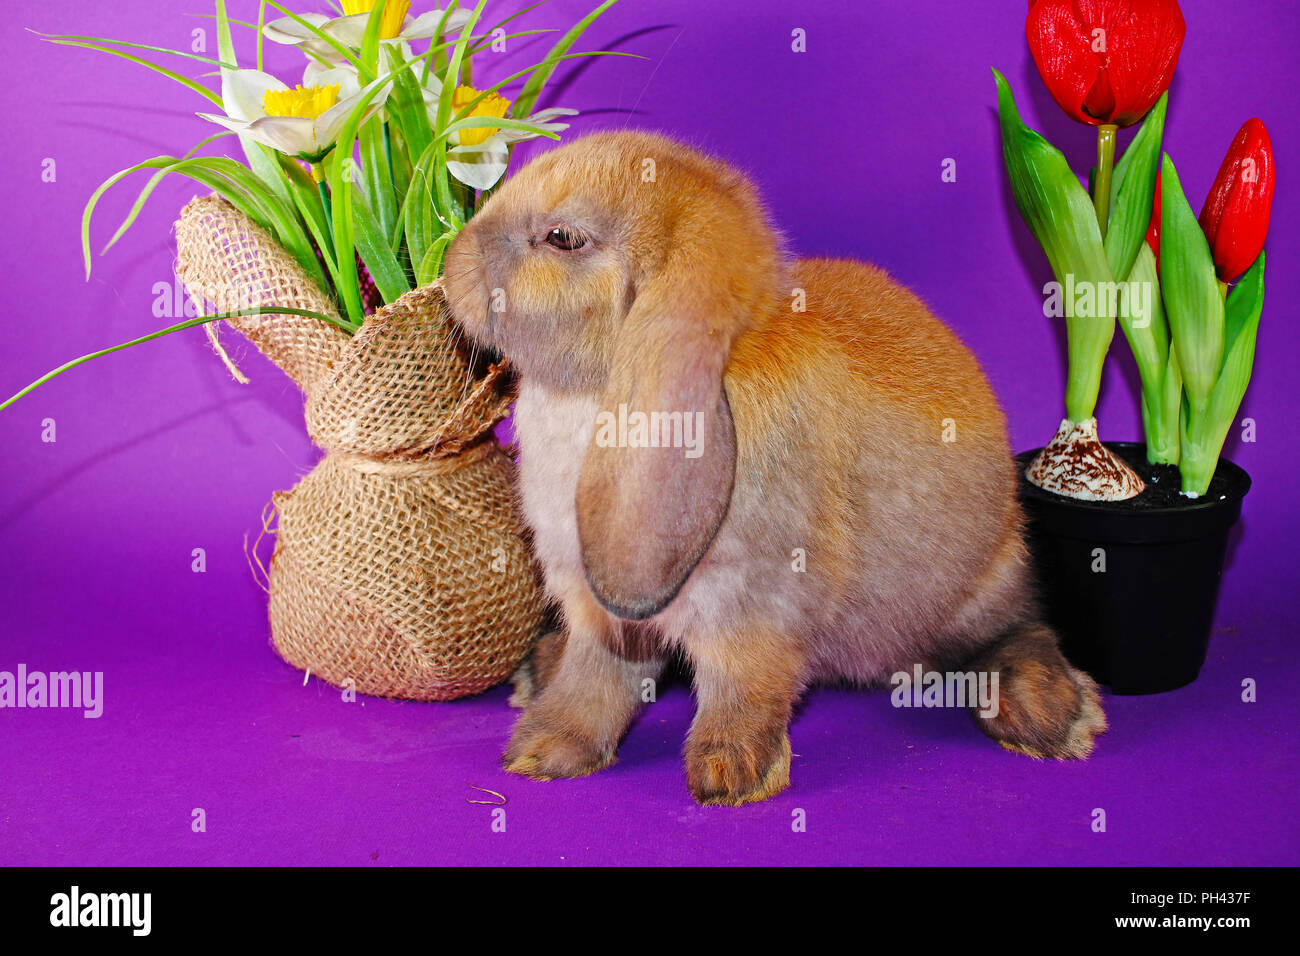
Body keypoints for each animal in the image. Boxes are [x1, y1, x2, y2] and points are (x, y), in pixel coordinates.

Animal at [442, 130, 1106, 806]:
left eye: (563, 237)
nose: (451, 259)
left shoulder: (755, 610)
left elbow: (742, 688)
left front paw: (730, 775)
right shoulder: (601, 613)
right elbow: (596, 680)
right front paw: (543, 750)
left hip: (980, 591)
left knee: (1021, 628)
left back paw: (1047, 714)